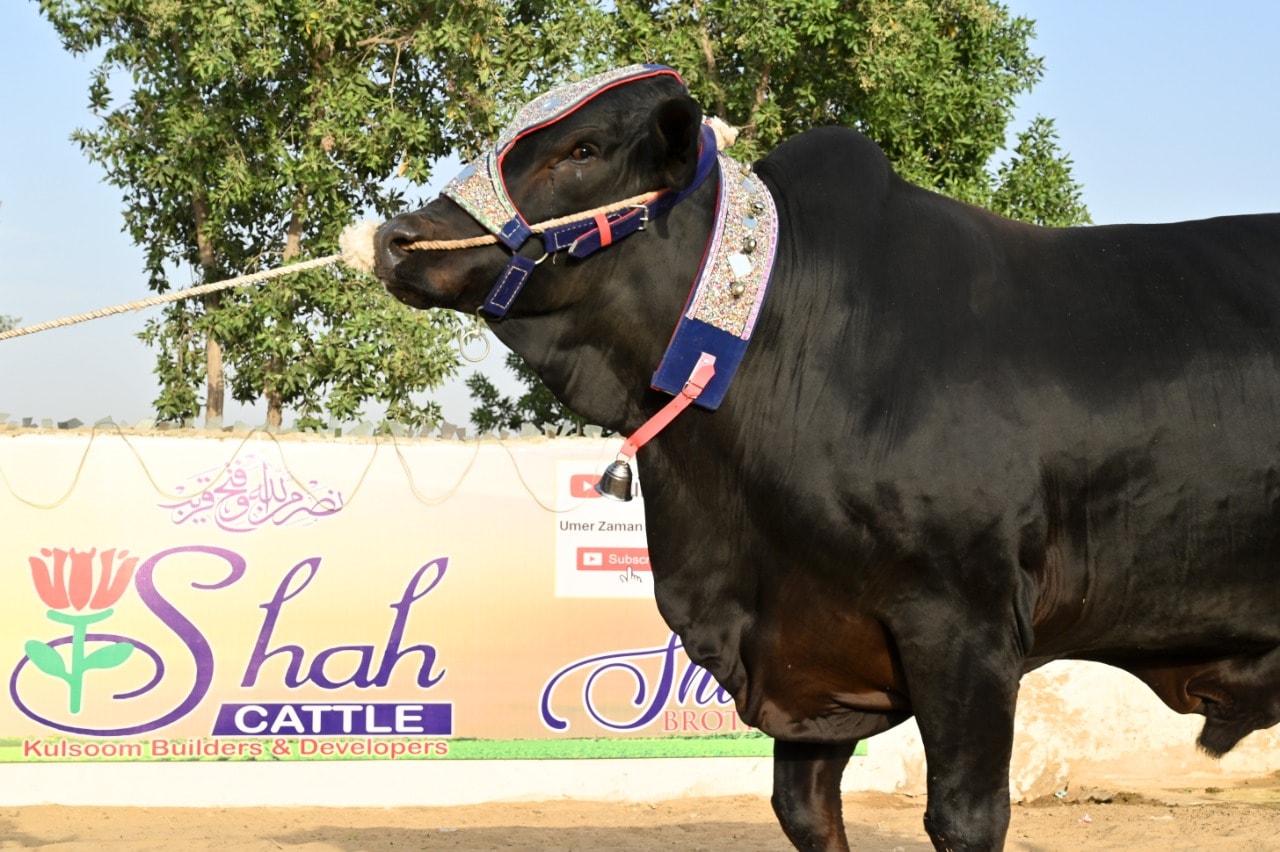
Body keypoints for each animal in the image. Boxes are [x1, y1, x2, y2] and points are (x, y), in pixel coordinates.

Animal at [371, 64, 1280, 851]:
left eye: (584, 151)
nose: (396, 238)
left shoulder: (968, 621)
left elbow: (964, 816)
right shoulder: (811, 649)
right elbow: (802, 808)